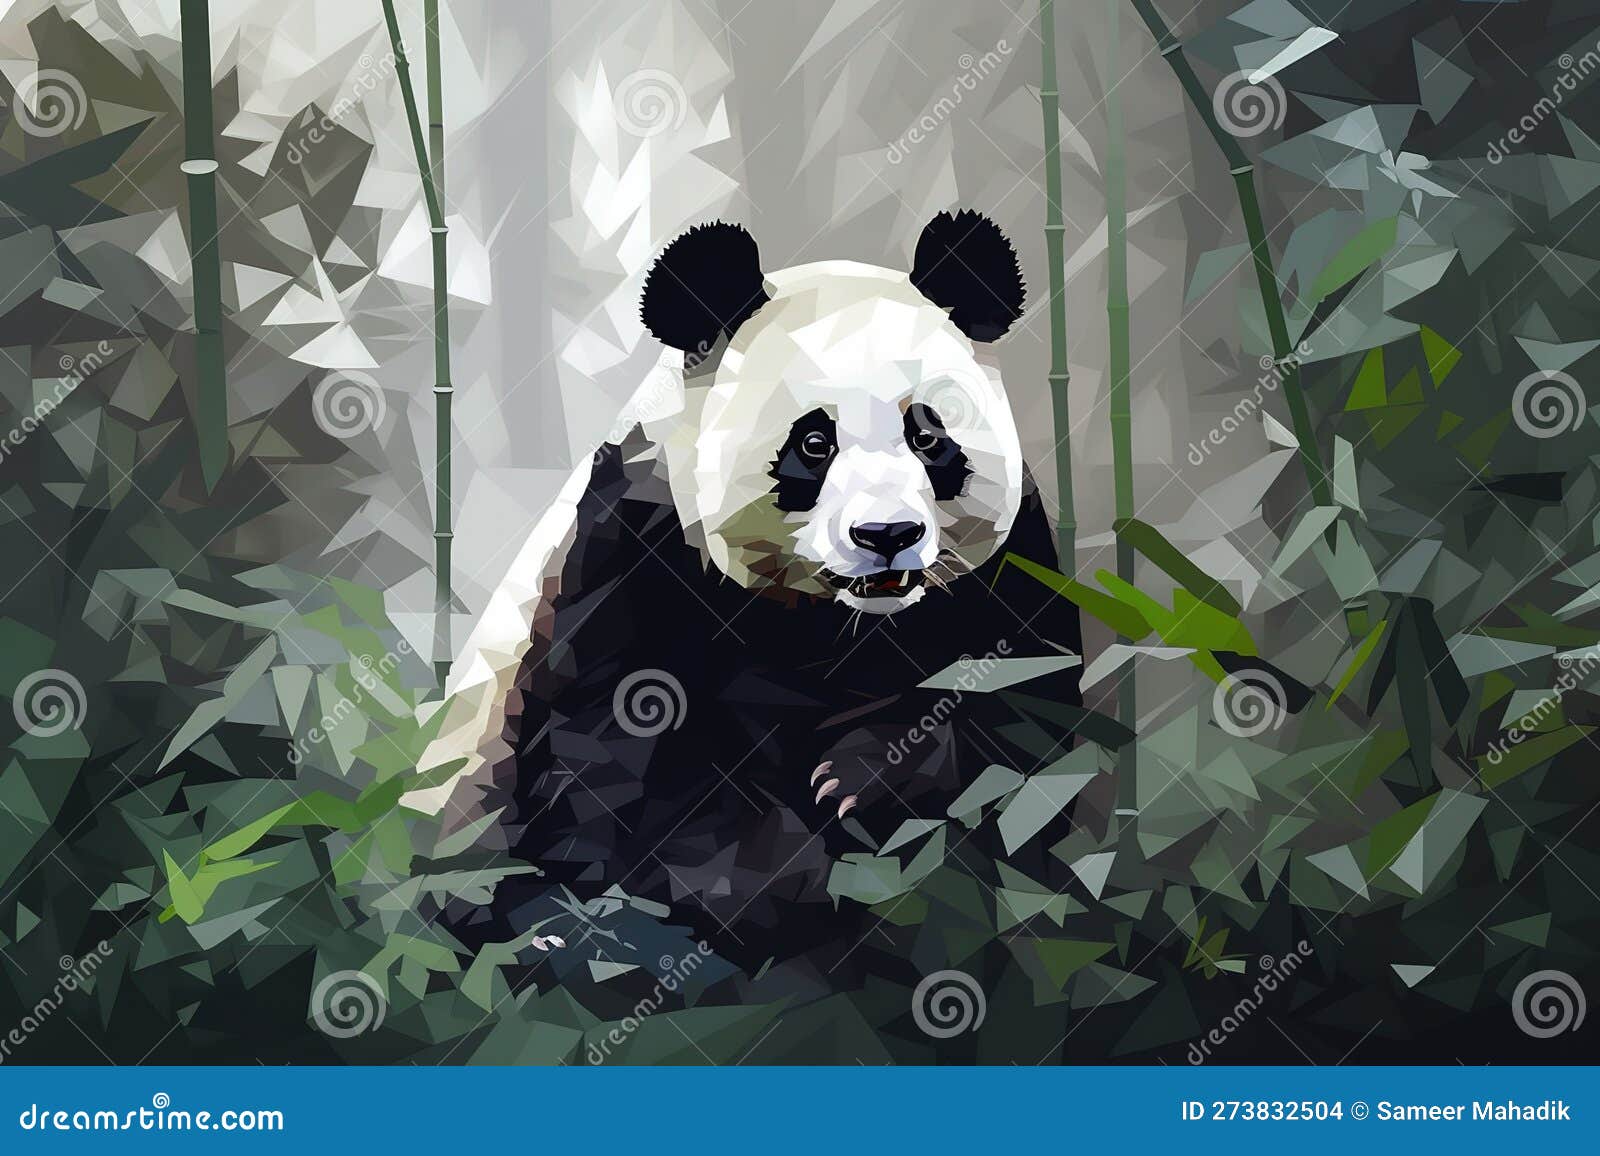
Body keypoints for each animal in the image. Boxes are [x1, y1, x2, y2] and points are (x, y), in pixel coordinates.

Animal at [413, 210, 1085, 966]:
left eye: (929, 437)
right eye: (814, 443)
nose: (887, 534)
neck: (838, 616)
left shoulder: (1007, 566)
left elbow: (1023, 719)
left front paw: (860, 779)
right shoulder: (634, 547)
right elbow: (622, 755)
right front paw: (788, 884)